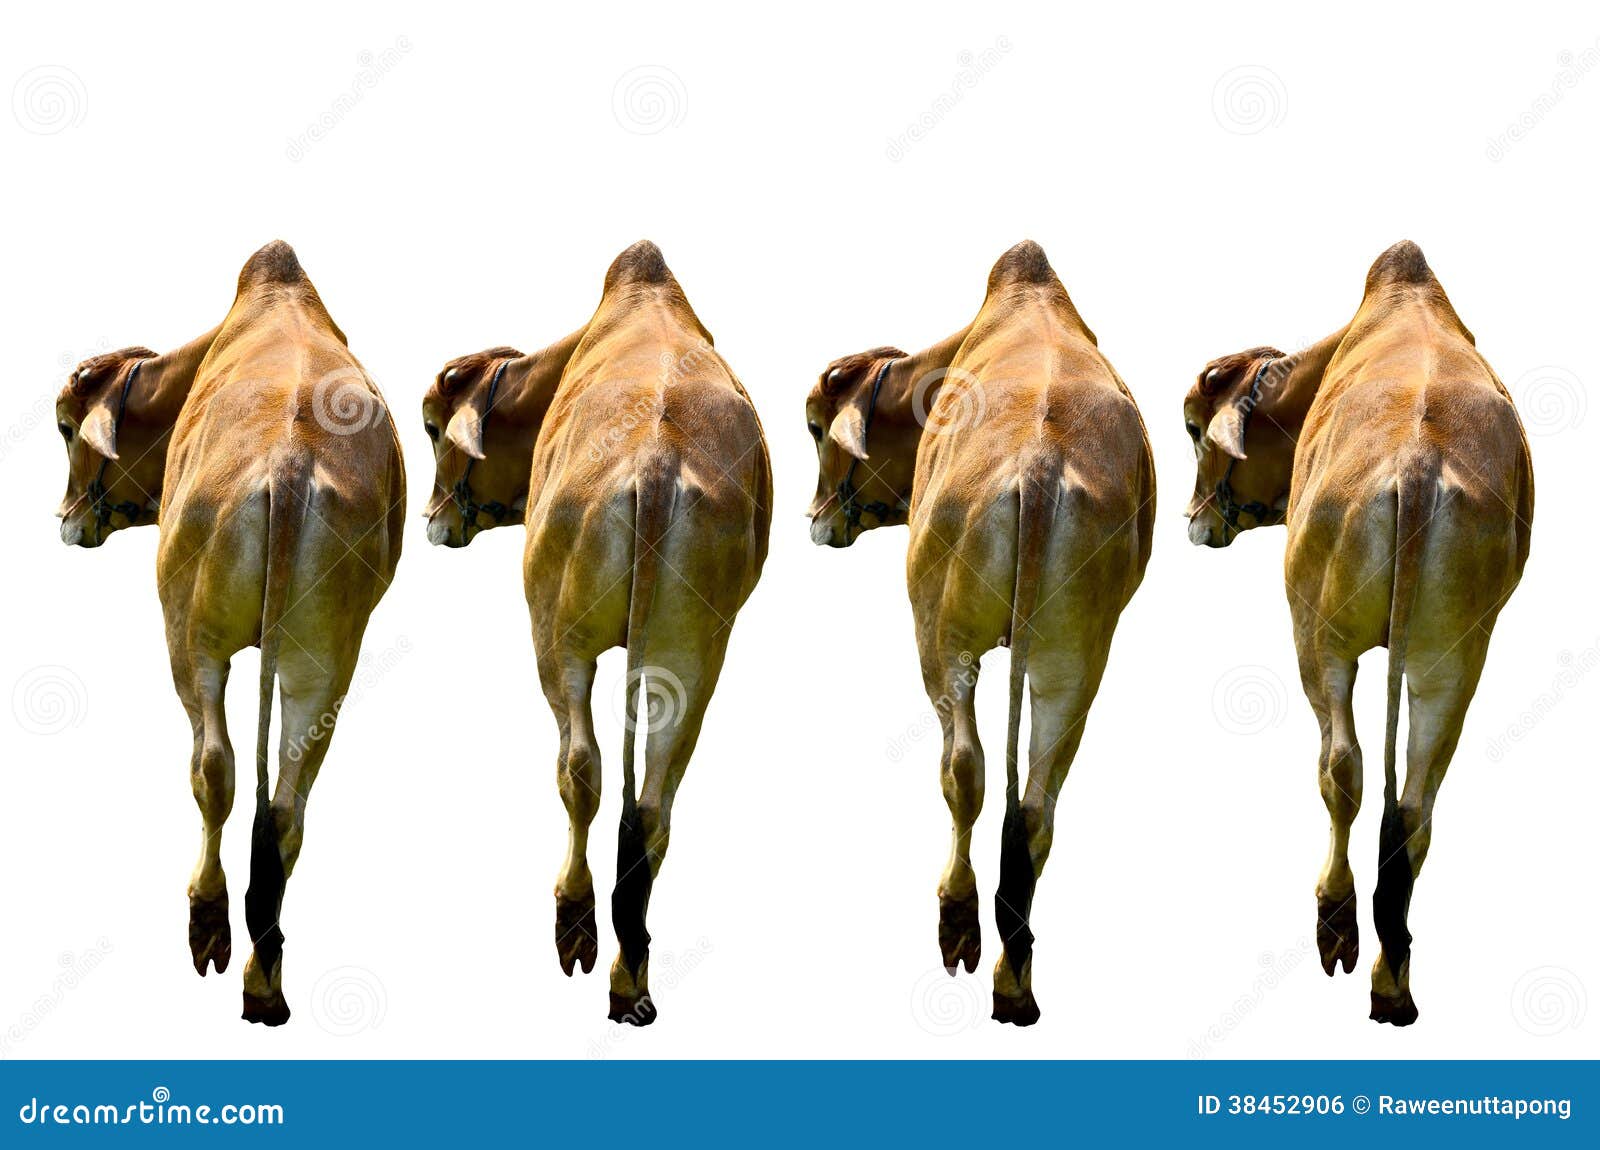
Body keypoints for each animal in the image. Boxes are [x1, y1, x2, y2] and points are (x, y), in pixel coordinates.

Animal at [55, 241, 405, 1025]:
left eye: (64, 428)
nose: (65, 519)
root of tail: (291, 459)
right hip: (322, 667)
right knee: (286, 808)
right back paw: (263, 980)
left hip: (193, 641)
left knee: (214, 769)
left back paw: (209, 924)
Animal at [422, 241, 771, 1023]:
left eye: (430, 427)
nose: (432, 520)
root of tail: (656, 460)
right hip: (692, 659)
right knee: (654, 805)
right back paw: (629, 974)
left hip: (560, 640)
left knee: (581, 770)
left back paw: (576, 926)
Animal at [806, 241, 1155, 1024]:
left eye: (814, 428)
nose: (815, 519)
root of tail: (1040, 462)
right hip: (1073, 663)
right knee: (1036, 807)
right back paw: (1014, 979)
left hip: (943, 639)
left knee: (964, 770)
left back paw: (959, 923)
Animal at [1182, 240, 1534, 1025]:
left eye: (1192, 429)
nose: (1195, 521)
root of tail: (1418, 460)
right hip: (1452, 661)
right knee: (1415, 807)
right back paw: (1391, 979)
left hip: (1321, 638)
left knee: (1342, 768)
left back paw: (1337, 924)